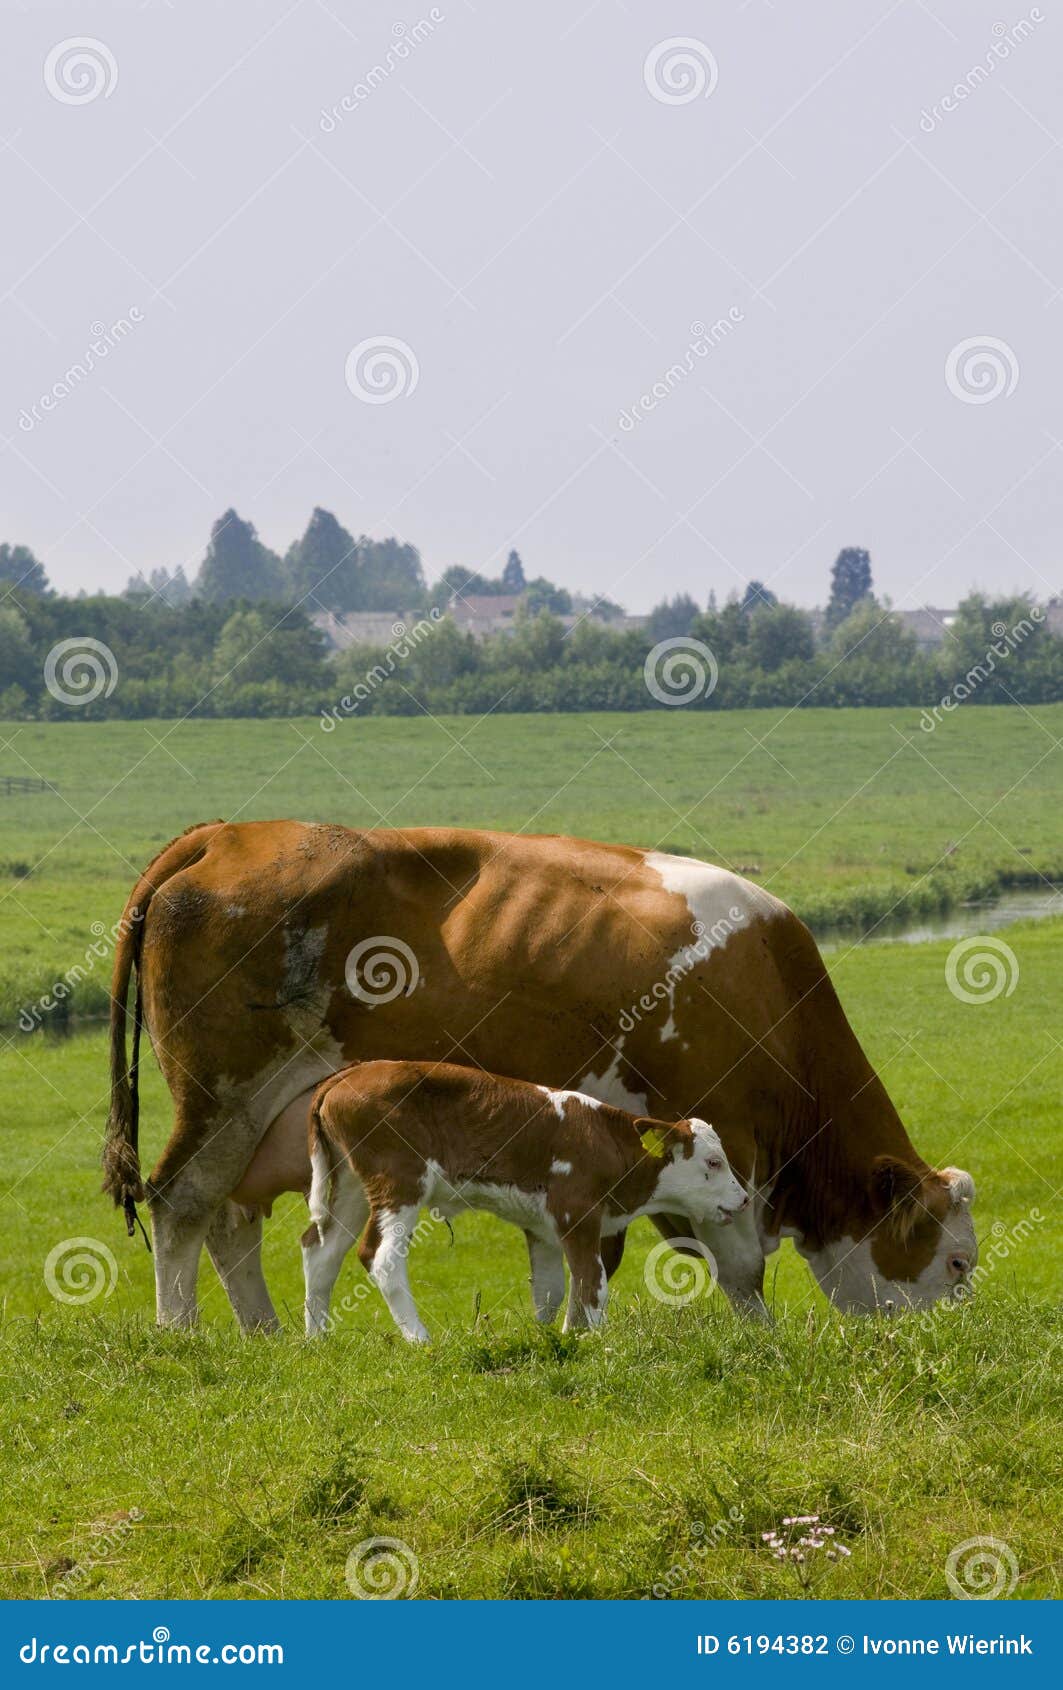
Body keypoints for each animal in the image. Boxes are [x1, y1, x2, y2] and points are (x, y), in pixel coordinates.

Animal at [302, 1060, 750, 1341]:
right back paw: (420, 1339)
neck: (604, 1140)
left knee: (321, 1249)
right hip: (400, 1181)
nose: (744, 1198)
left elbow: (552, 1290)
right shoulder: (576, 1213)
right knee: (381, 1256)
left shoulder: (544, 1228)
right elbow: (592, 1282)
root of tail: (352, 1072)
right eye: (713, 1162)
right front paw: (588, 1341)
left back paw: (317, 1340)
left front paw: (552, 1337)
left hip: (351, 1184)